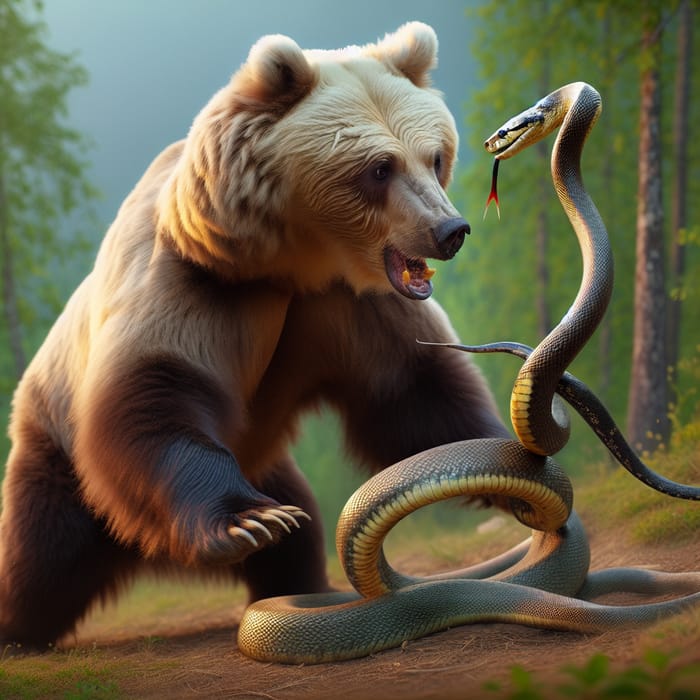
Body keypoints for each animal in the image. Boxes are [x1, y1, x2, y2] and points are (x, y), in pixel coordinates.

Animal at [0, 22, 509, 649]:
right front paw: (247, 521)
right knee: (41, 557)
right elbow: (155, 391)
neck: (290, 263)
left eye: (434, 156)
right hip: (55, 447)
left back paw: (297, 578)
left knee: (302, 529)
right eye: (379, 167)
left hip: (265, 458)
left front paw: (496, 461)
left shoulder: (348, 306)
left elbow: (414, 390)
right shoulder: (195, 285)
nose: (450, 229)